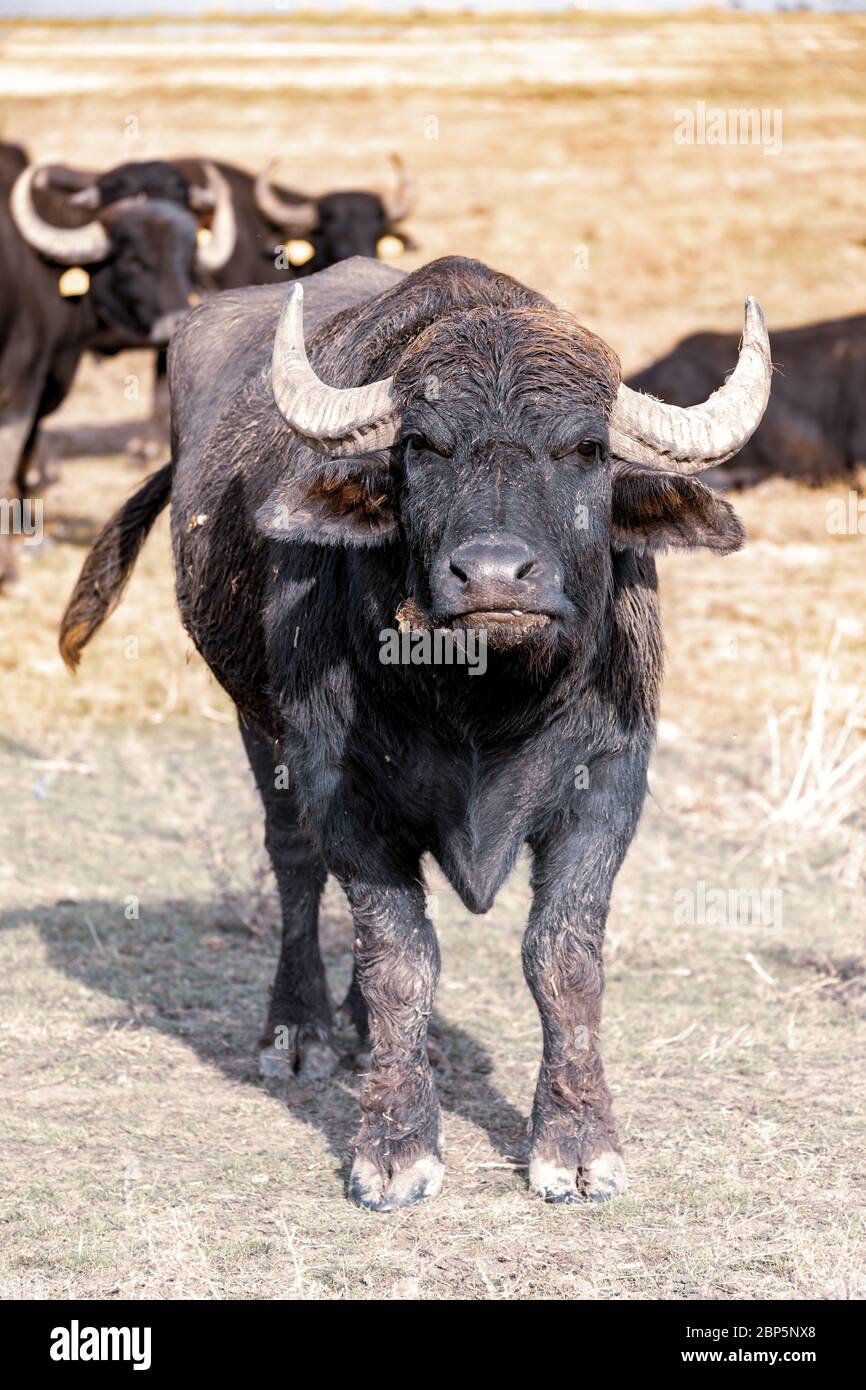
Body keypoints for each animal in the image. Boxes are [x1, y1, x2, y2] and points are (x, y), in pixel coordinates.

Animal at [59, 256, 771, 1210]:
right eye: (424, 446)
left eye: (585, 449)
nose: (495, 574)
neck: (484, 700)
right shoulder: (342, 788)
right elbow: (399, 953)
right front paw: (395, 1147)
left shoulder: (612, 782)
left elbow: (561, 954)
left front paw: (578, 1144)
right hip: (256, 726)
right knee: (295, 866)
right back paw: (301, 1034)